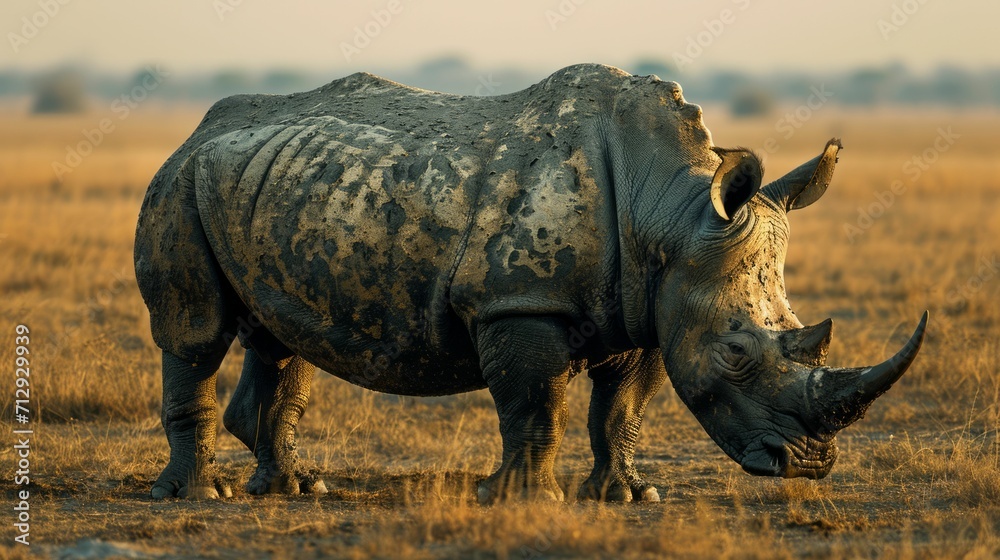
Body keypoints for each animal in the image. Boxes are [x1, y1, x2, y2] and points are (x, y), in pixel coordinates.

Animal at [134, 63, 927, 503]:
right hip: (178, 185)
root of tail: (196, 129)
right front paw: (521, 500)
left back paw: (295, 488)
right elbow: (535, 403)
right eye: (735, 354)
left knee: (281, 340)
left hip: (267, 184)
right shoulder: (519, 304)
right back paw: (199, 497)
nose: (808, 467)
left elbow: (620, 409)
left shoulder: (648, 305)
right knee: (194, 336)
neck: (671, 214)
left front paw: (629, 497)